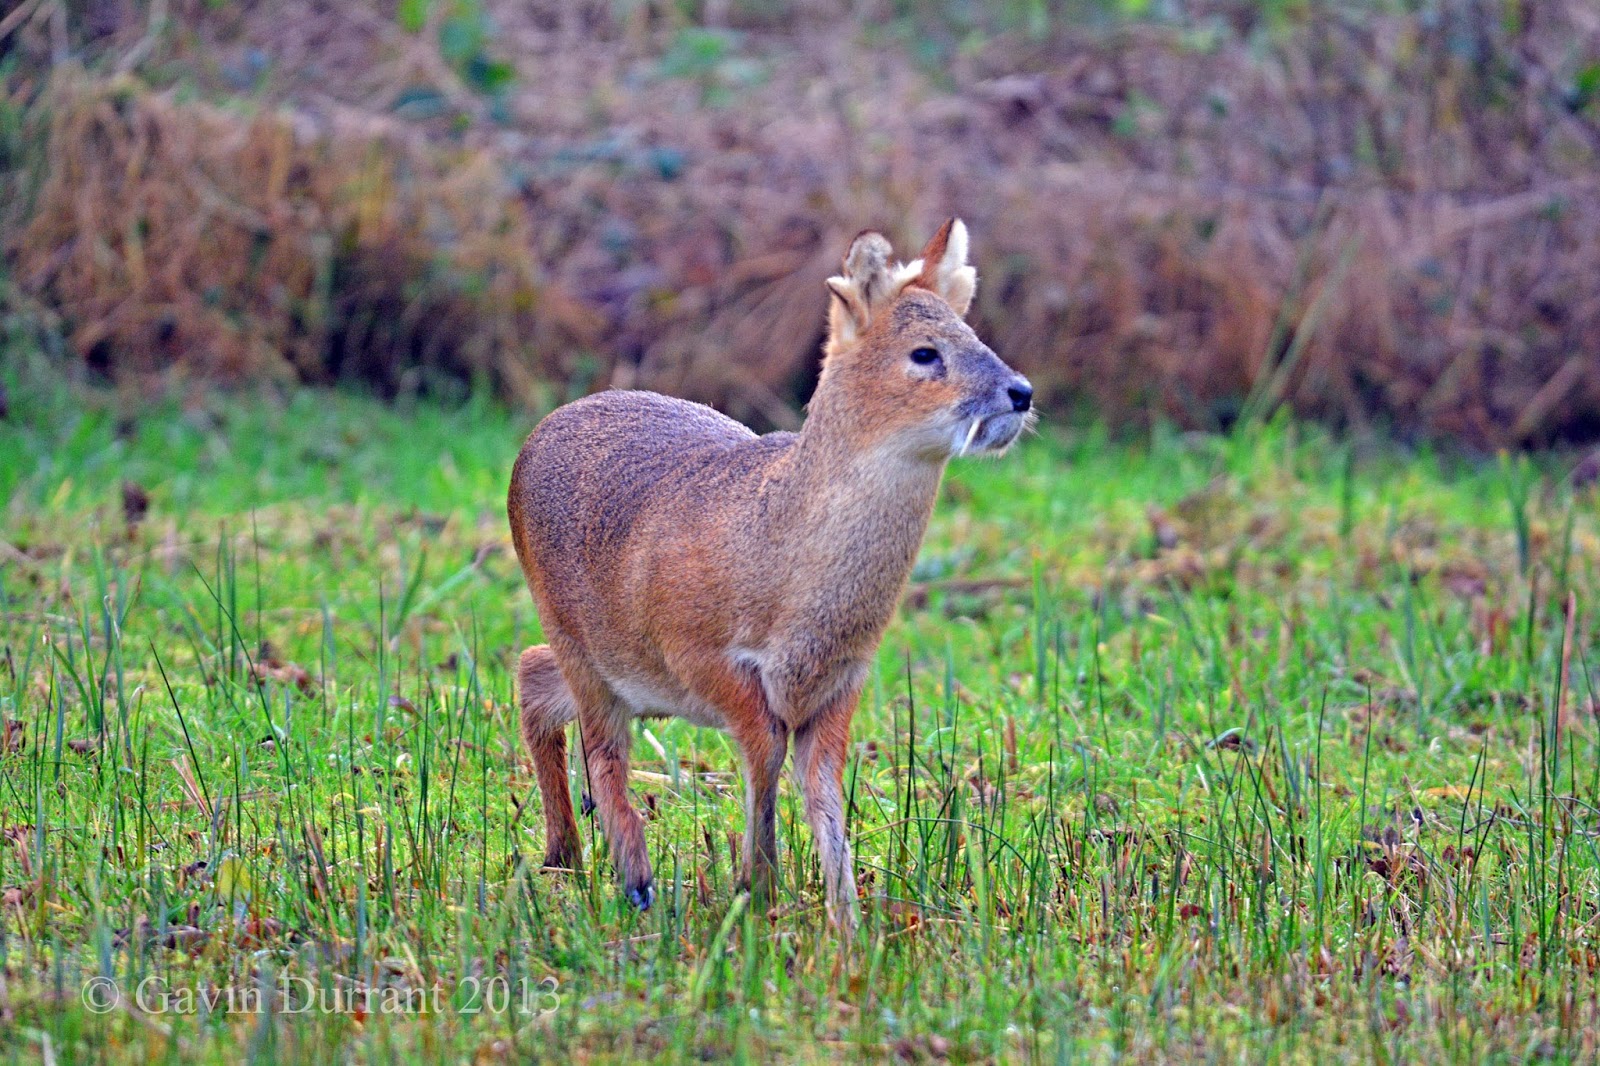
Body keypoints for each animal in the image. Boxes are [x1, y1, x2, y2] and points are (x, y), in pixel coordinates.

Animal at [507, 219, 1033, 934]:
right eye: (925, 353)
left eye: (976, 336)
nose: (1021, 393)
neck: (784, 570)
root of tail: (535, 439)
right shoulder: (705, 659)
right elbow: (765, 765)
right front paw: (756, 895)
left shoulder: (837, 687)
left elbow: (825, 798)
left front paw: (845, 924)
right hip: (587, 654)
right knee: (600, 748)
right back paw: (632, 877)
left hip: (613, 671)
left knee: (533, 677)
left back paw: (563, 855)